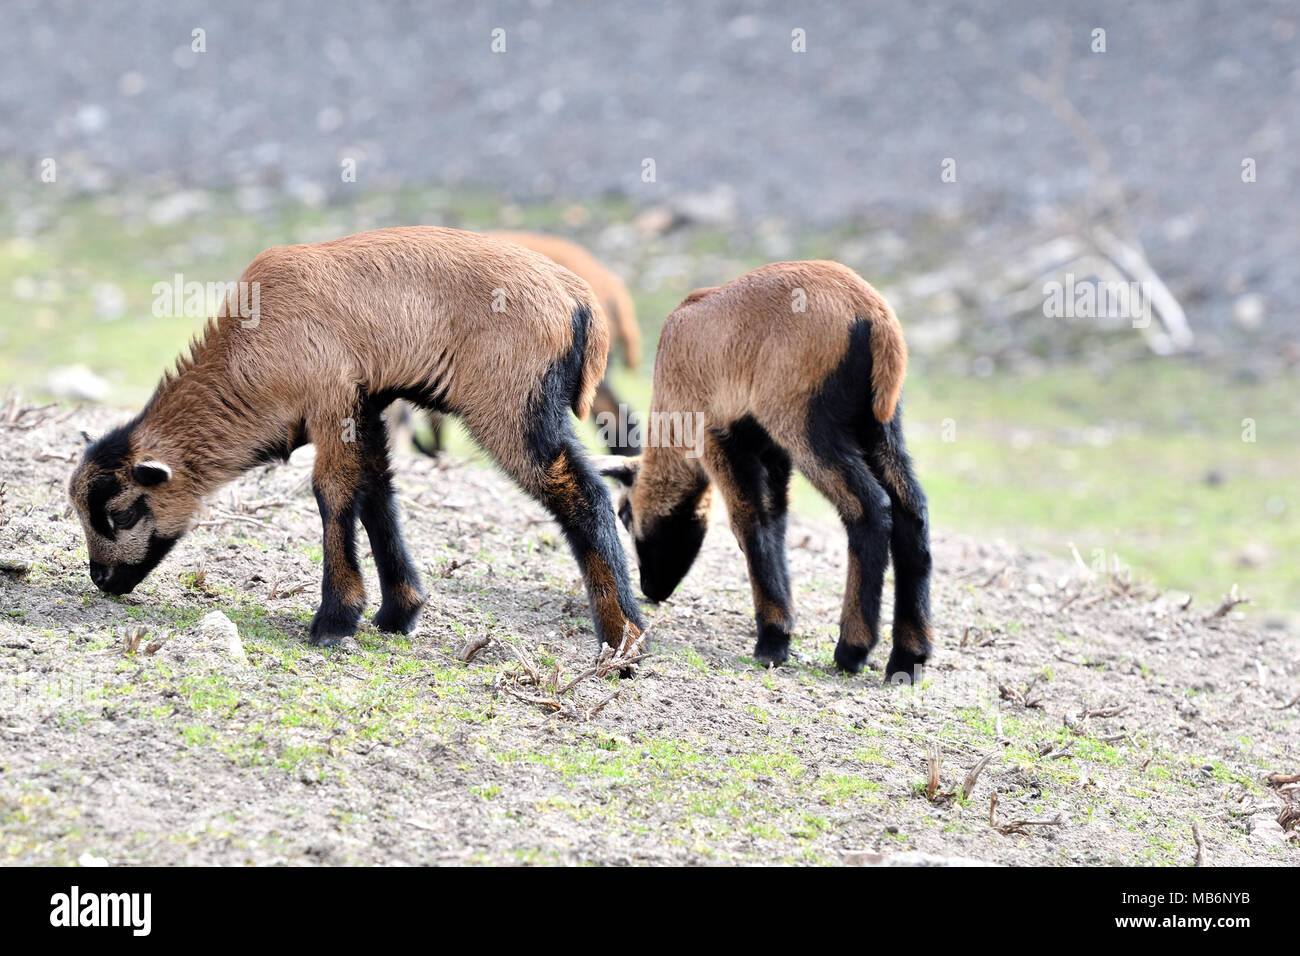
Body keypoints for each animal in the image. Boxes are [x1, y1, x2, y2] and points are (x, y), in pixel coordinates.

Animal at [598, 261, 931, 682]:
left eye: (624, 515)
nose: (651, 590)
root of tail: (872, 316)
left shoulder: (716, 436)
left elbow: (750, 522)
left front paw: (772, 640)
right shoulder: (772, 453)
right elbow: (775, 520)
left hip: (806, 421)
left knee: (870, 509)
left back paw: (852, 649)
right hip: (877, 424)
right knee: (911, 511)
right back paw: (909, 657)